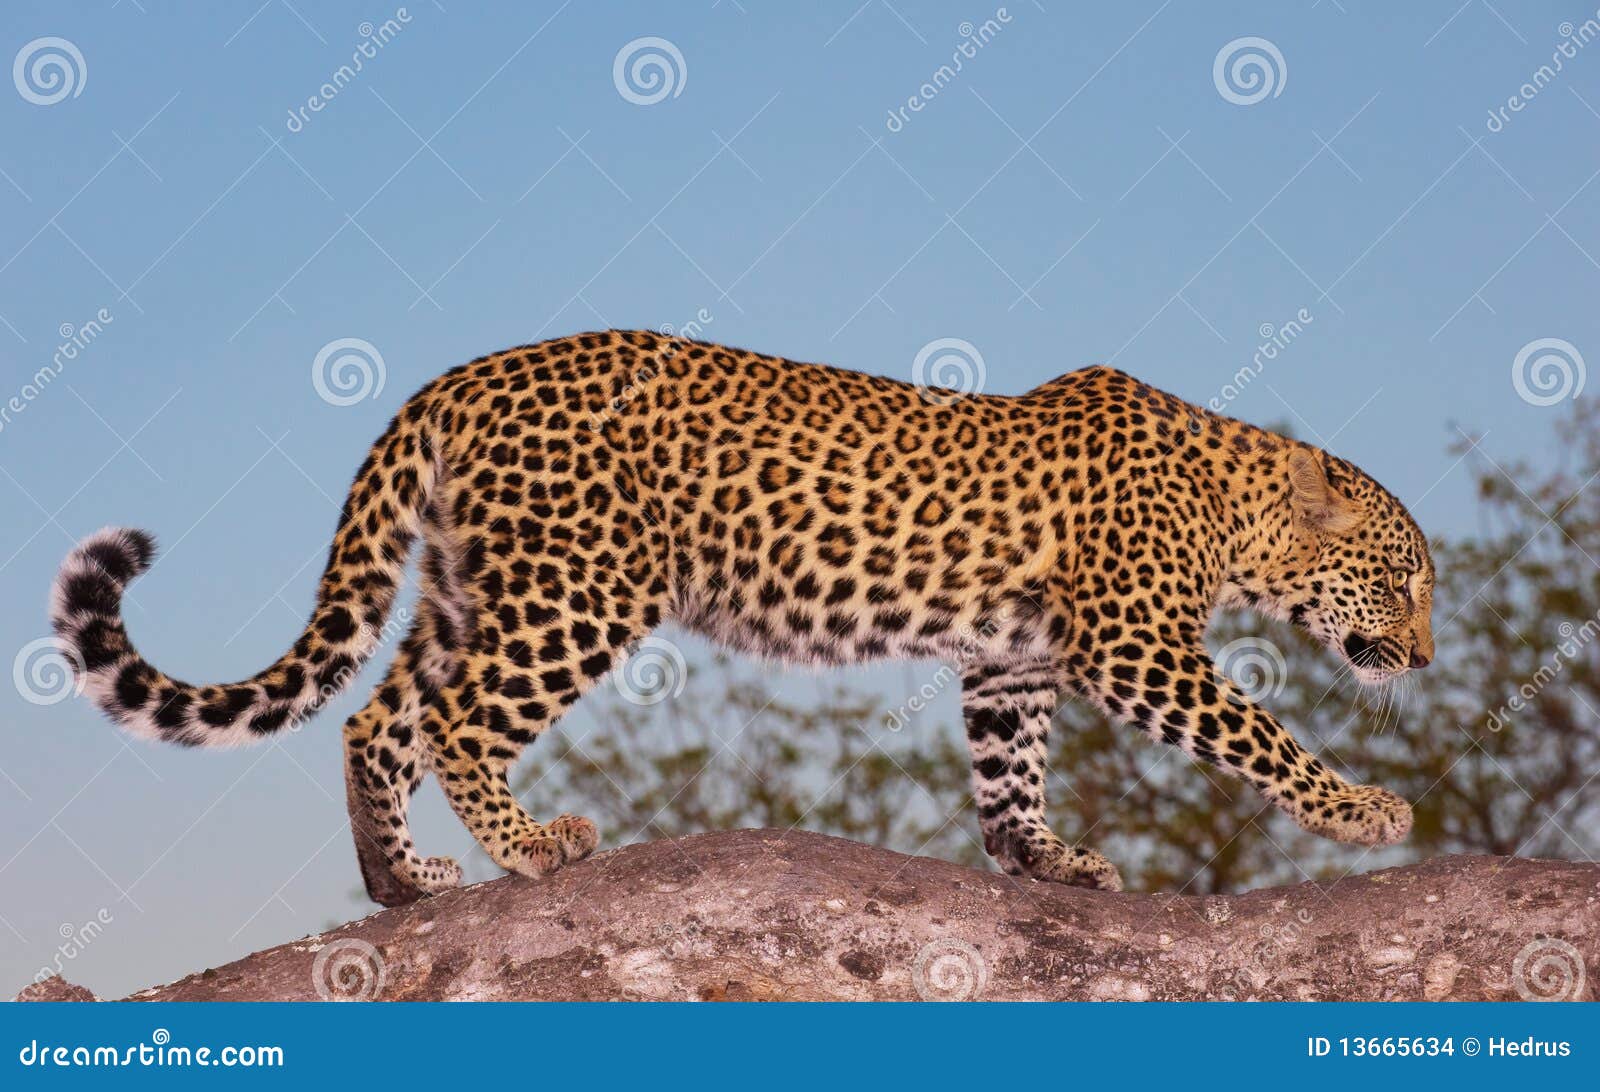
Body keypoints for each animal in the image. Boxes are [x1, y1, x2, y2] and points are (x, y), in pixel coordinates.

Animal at [51, 329, 1433, 904]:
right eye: (1407, 577)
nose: (1422, 653)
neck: (1236, 506)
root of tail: (456, 378)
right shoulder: (1136, 645)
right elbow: (1258, 735)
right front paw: (1365, 810)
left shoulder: (1014, 661)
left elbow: (1010, 775)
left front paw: (1048, 860)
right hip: (578, 587)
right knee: (455, 718)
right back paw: (530, 847)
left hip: (468, 586)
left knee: (378, 715)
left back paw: (403, 881)